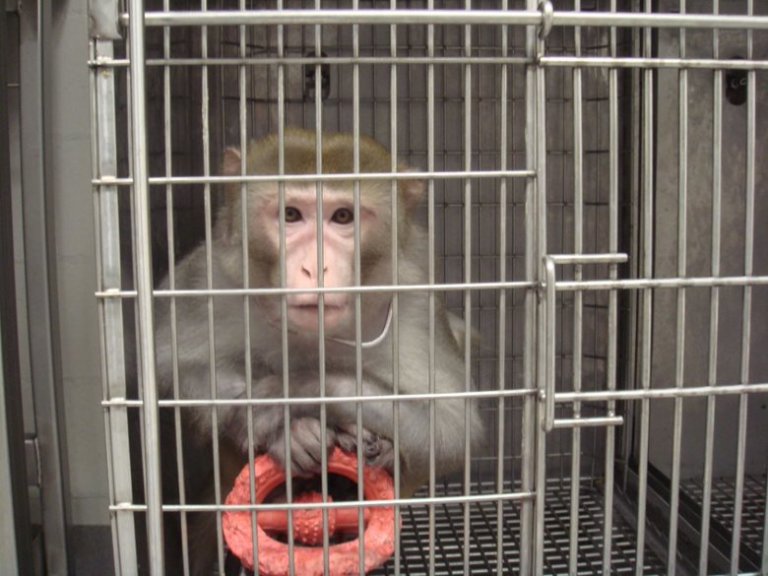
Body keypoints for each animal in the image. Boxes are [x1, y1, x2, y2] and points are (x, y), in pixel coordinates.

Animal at [145, 129, 485, 574]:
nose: (315, 267)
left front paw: (295, 391)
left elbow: (452, 427)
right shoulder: (212, 276)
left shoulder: (414, 300)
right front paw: (285, 429)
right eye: (291, 215)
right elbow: (170, 362)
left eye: (342, 217)